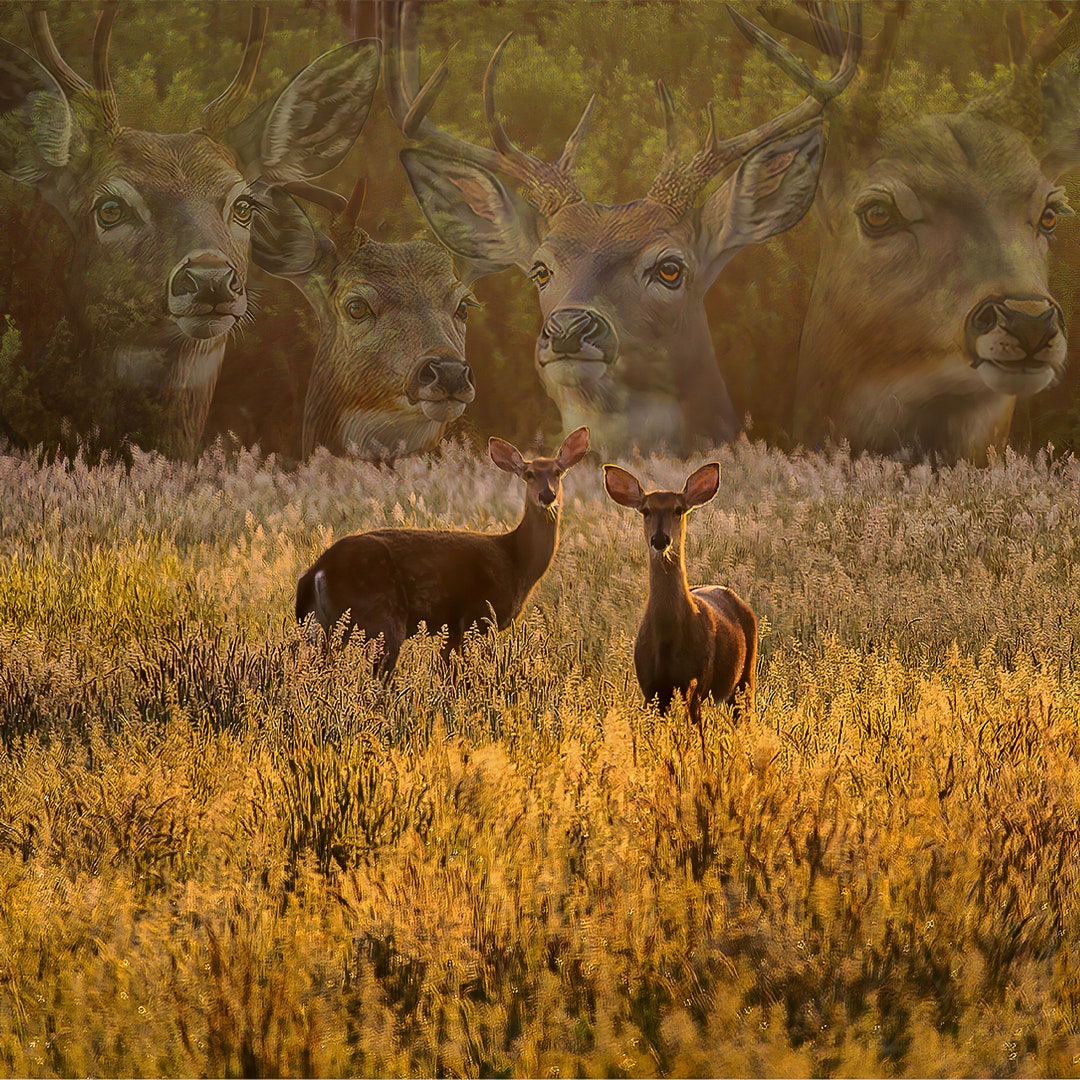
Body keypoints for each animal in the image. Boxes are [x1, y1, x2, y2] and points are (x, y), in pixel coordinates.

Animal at [295, 425, 590, 674]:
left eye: (557, 471)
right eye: (528, 474)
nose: (547, 495)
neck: (516, 561)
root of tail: (318, 570)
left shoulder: (456, 627)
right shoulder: (475, 617)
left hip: (319, 625)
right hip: (380, 617)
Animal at [603, 461, 757, 742]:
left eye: (678, 510)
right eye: (645, 510)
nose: (660, 540)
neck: (668, 638)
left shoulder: (695, 682)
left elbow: (696, 733)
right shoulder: (651, 689)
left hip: (745, 677)